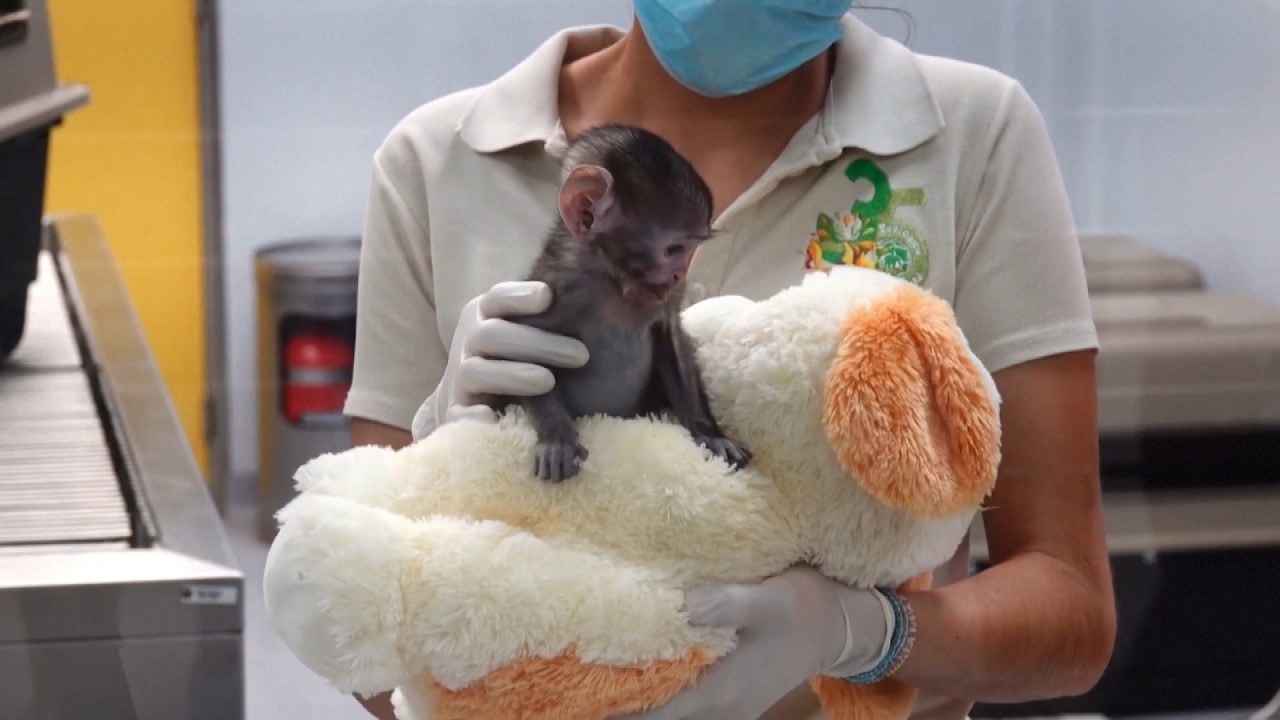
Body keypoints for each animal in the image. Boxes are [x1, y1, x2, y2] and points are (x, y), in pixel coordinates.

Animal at [492, 123, 751, 483]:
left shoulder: (663, 301)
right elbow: (526, 360)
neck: (613, 281)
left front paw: (710, 434)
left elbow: (674, 343)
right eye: (673, 249)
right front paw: (557, 438)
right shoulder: (558, 286)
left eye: (689, 251)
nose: (678, 275)